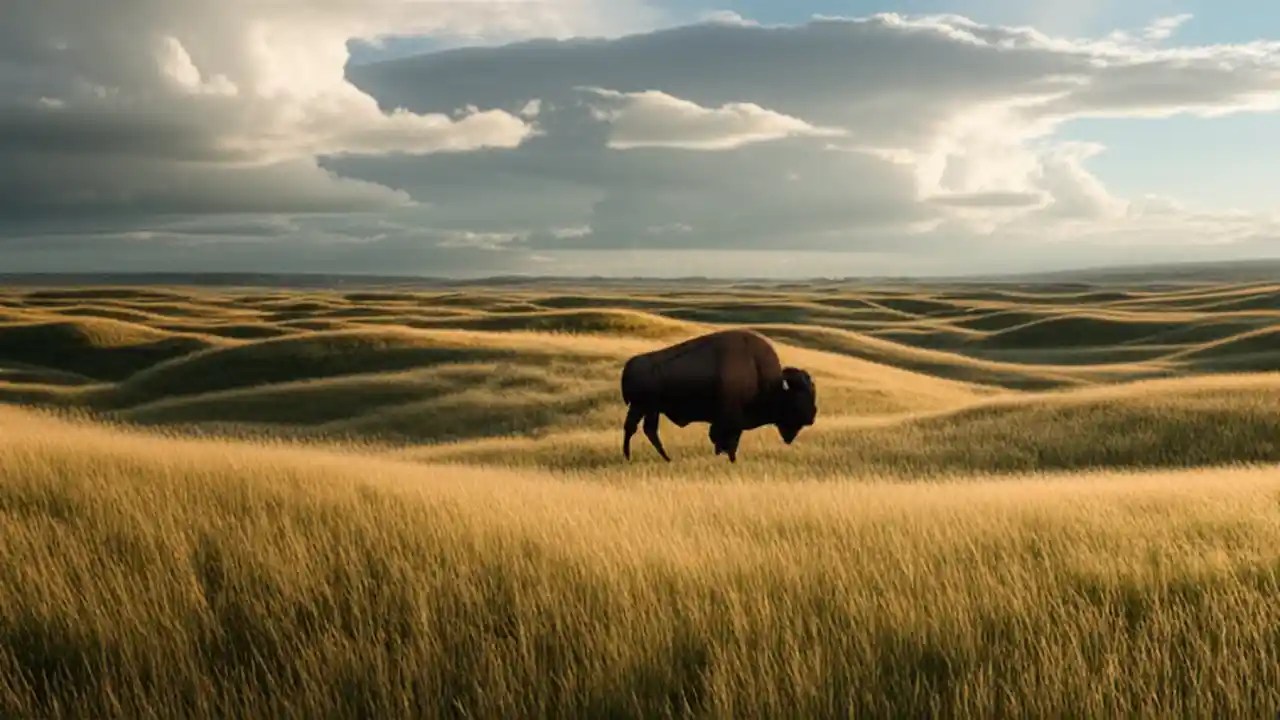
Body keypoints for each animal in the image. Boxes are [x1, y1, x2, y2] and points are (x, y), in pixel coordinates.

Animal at [620, 329, 817, 463]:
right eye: (799, 397)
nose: (811, 417)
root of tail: (629, 365)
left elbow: (725, 443)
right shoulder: (729, 422)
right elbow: (726, 442)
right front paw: (730, 460)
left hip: (648, 409)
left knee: (646, 430)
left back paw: (662, 458)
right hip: (642, 407)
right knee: (635, 429)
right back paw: (633, 457)